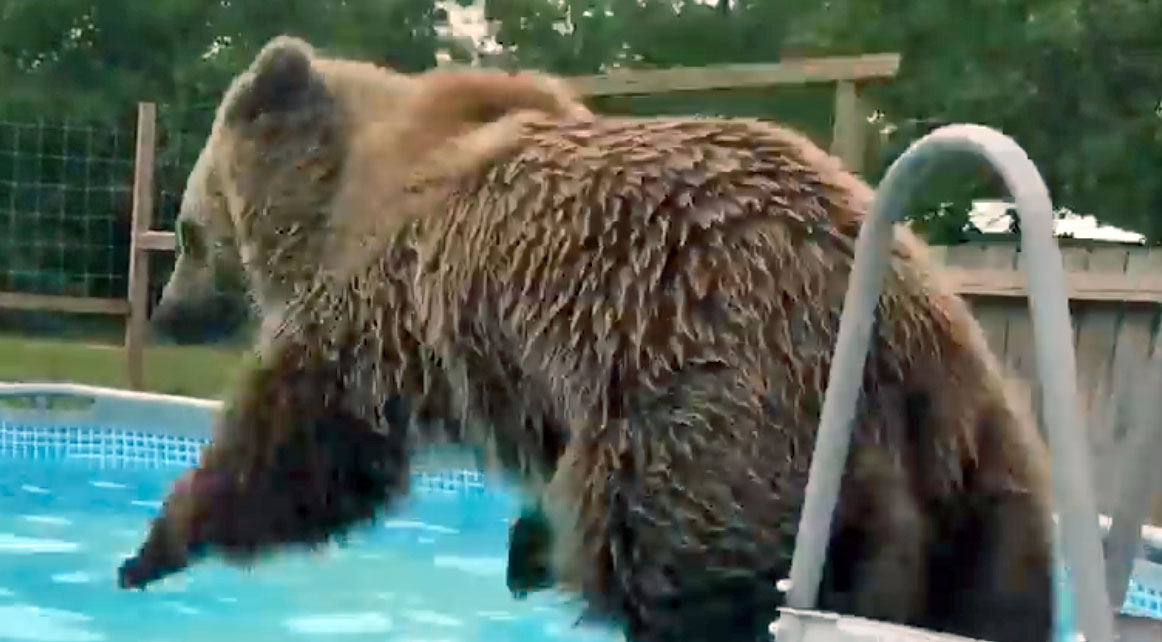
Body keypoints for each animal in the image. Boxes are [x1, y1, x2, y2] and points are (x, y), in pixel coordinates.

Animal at [116, 35, 1055, 642]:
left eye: (189, 231)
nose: (169, 312)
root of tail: (904, 346)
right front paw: (526, 549)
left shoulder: (384, 307)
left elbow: (304, 447)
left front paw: (155, 544)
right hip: (988, 476)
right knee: (1000, 594)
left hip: (722, 410)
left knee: (684, 574)